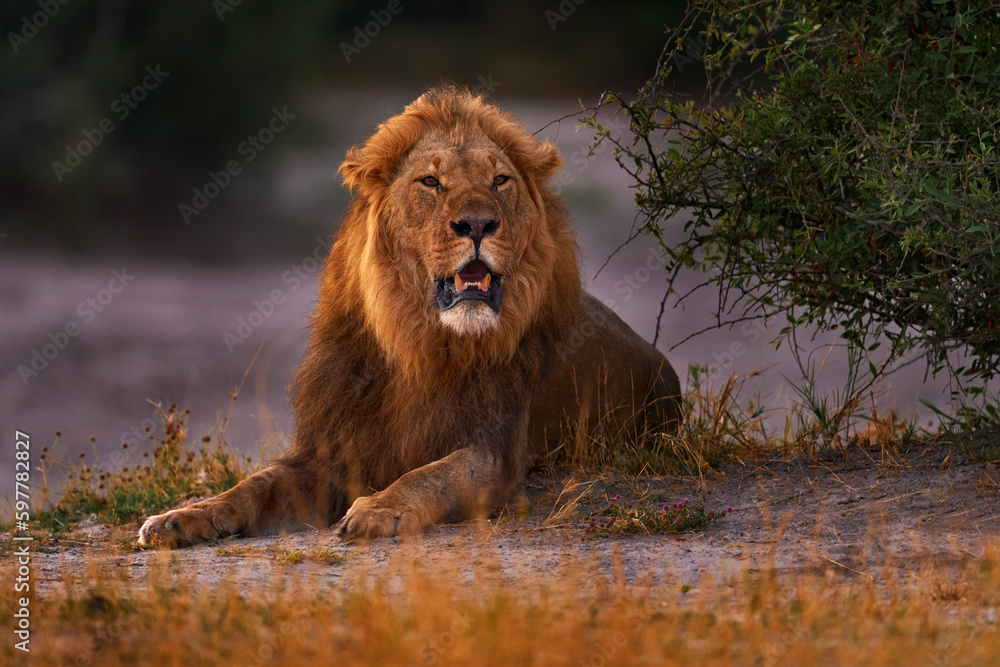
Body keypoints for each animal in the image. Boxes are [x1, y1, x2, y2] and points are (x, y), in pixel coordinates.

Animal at [138, 87, 681, 547]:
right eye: (431, 182)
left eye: (499, 180)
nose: (478, 224)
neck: (420, 341)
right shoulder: (330, 449)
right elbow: (252, 484)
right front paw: (178, 518)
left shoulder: (498, 454)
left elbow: (431, 474)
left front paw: (376, 509)